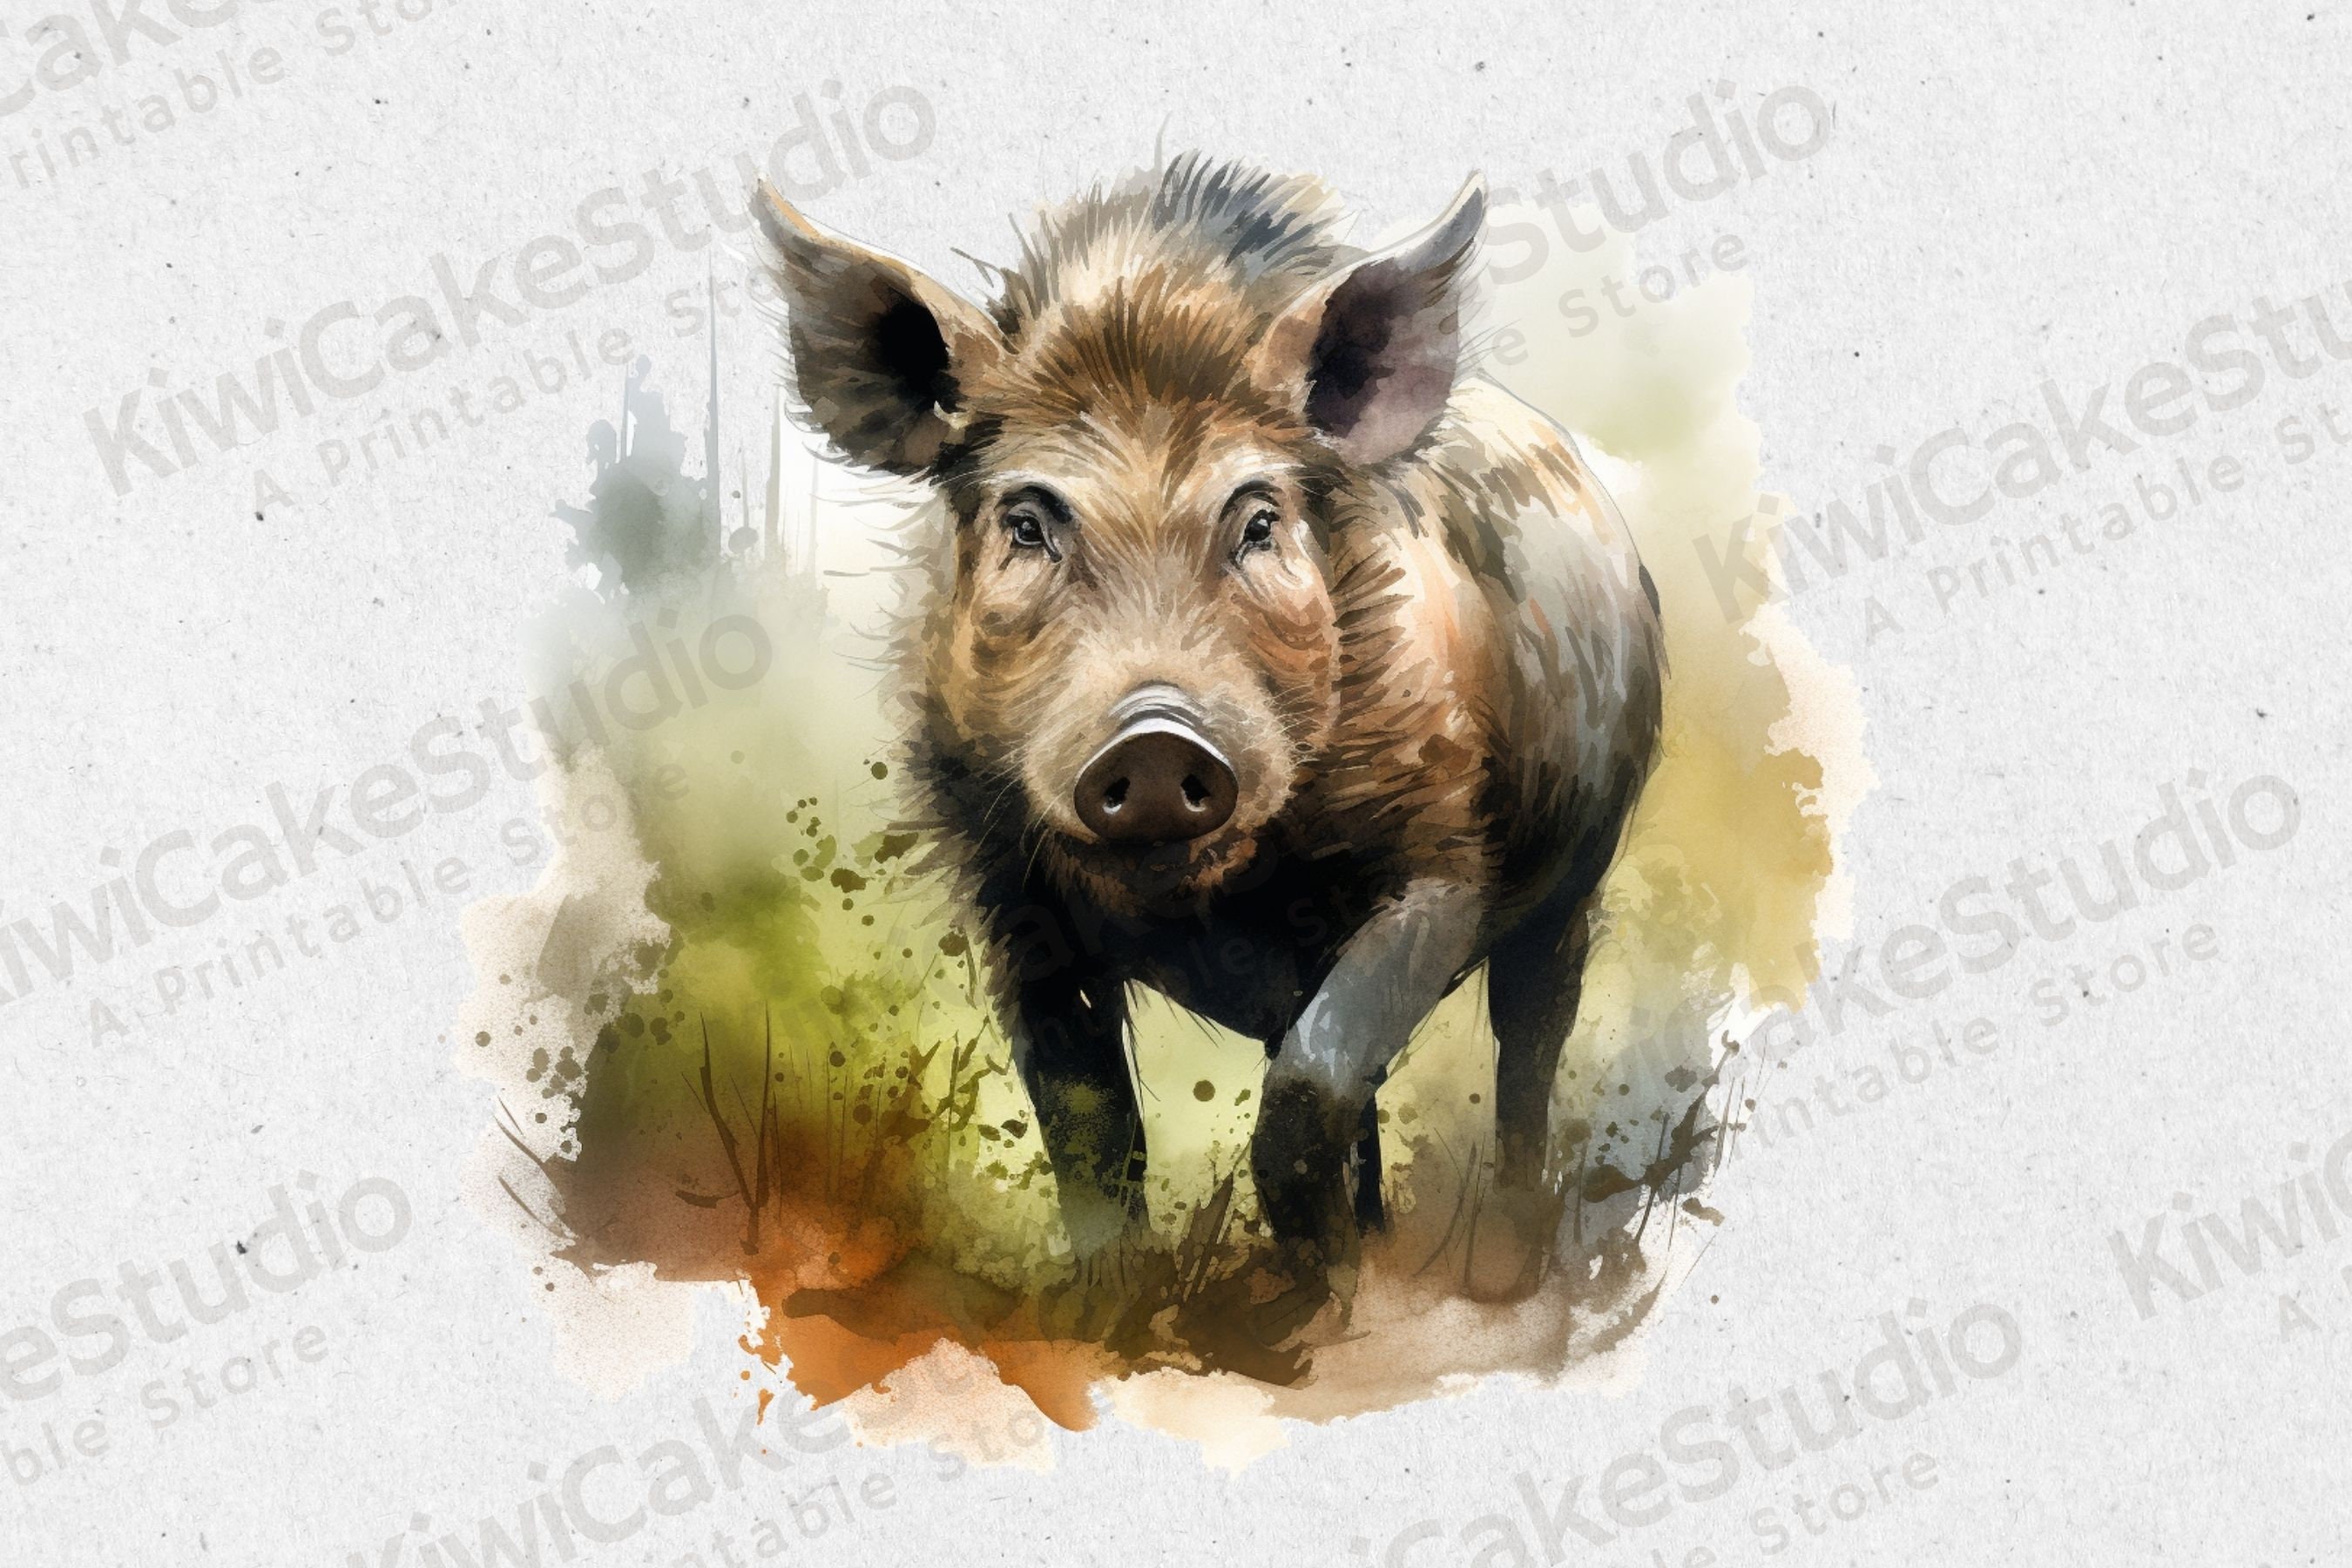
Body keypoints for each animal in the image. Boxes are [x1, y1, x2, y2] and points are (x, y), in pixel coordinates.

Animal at [755, 155, 1663, 1303]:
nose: (1154, 738)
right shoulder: (1010, 899)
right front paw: (1125, 1312)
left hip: (1581, 878)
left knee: (1527, 1047)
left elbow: (1315, 1078)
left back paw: (1505, 1264)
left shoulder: (1450, 860)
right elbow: (1092, 1127)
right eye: (1027, 523)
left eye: (1260, 520)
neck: (1224, 903)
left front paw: (1319, 1303)